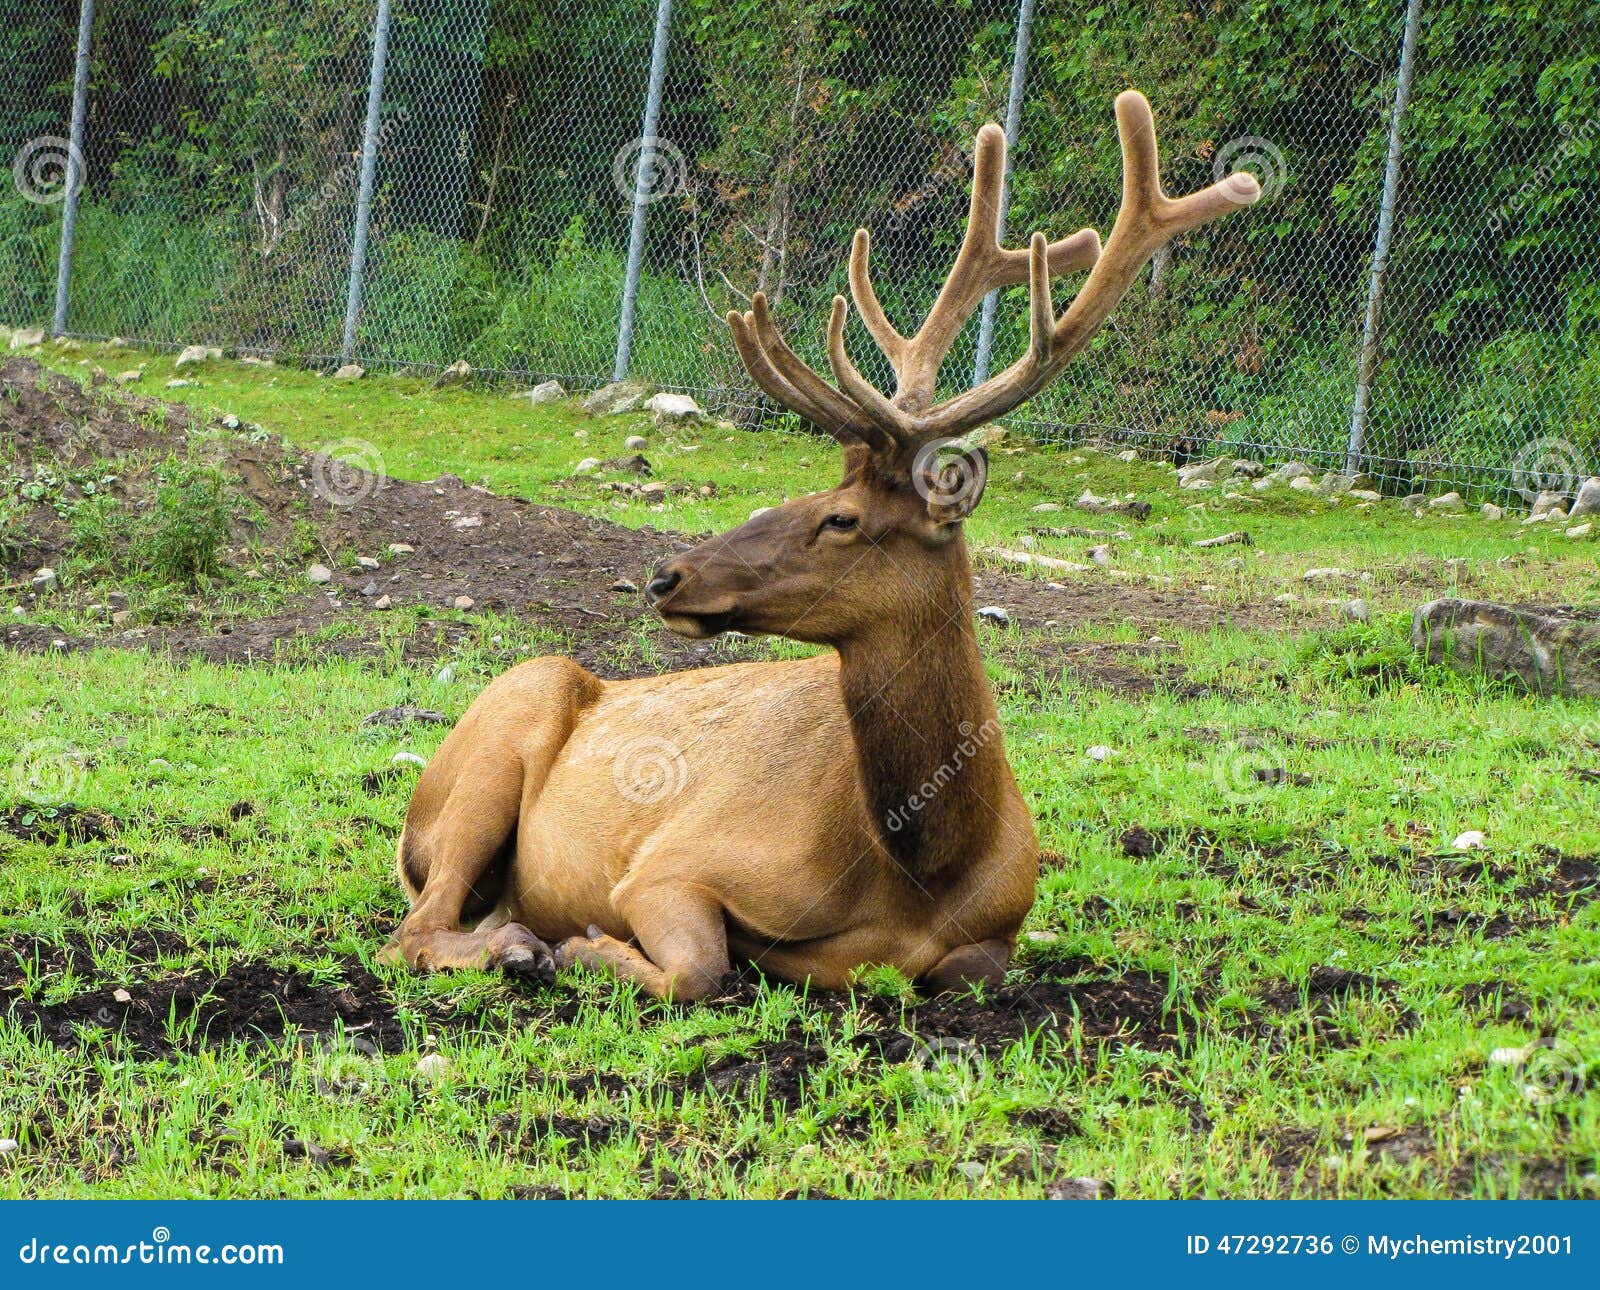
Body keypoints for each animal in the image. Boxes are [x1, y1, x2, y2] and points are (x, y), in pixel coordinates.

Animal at [382, 91, 1260, 1000]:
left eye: (840, 517)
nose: (666, 576)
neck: (925, 870)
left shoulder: (1000, 928)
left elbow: (963, 969)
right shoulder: (666, 866)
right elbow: (700, 966)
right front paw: (587, 945)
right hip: (506, 724)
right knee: (412, 932)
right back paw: (520, 945)